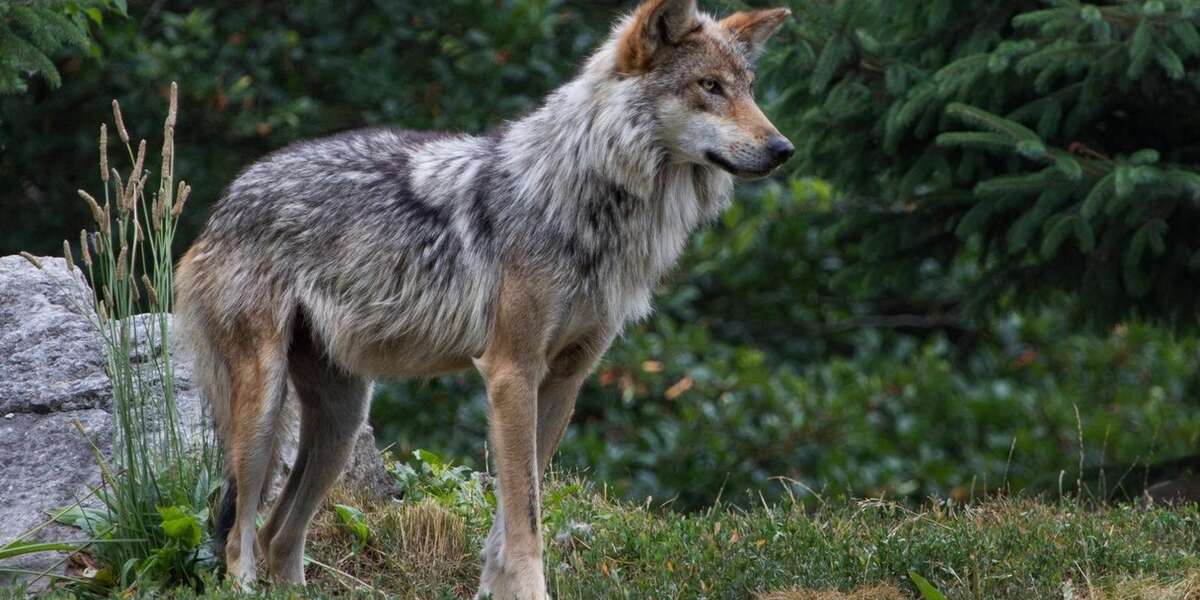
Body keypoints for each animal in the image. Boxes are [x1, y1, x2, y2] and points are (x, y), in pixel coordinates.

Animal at [175, 0, 792, 597]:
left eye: (749, 88)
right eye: (709, 86)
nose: (783, 148)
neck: (585, 205)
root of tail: (228, 198)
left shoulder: (563, 381)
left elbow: (511, 519)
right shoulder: (510, 372)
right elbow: (526, 519)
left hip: (344, 423)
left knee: (278, 533)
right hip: (264, 409)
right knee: (240, 533)